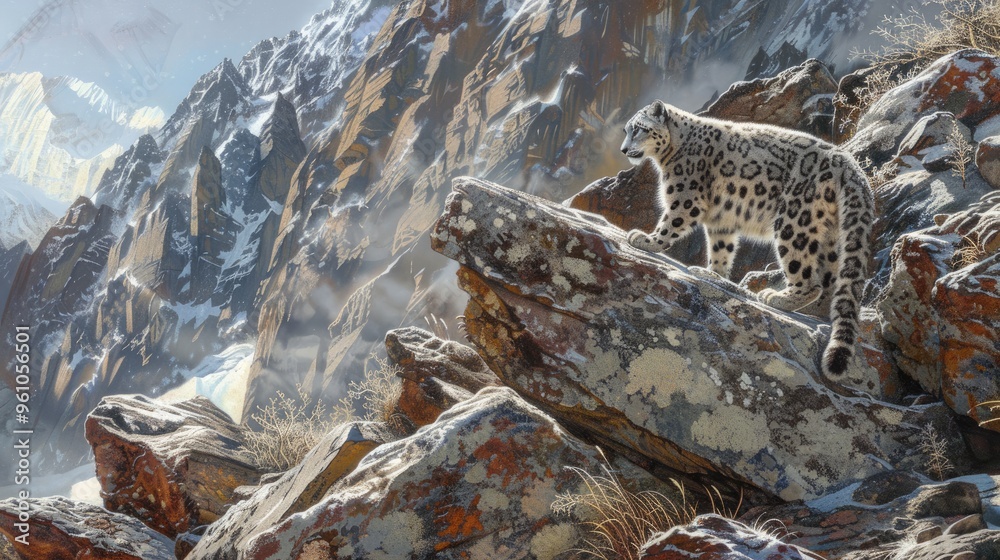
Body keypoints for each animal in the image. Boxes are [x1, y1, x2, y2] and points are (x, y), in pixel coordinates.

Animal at [620, 100, 874, 380]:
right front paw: (712, 273)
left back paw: (777, 298)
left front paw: (645, 240)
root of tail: (850, 164)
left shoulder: (686, 197)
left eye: (638, 129)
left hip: (794, 221)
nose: (623, 149)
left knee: (808, 277)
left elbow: (670, 223)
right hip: (829, 232)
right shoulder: (721, 221)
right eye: (626, 130)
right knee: (829, 280)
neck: (670, 154)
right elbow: (721, 250)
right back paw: (811, 309)